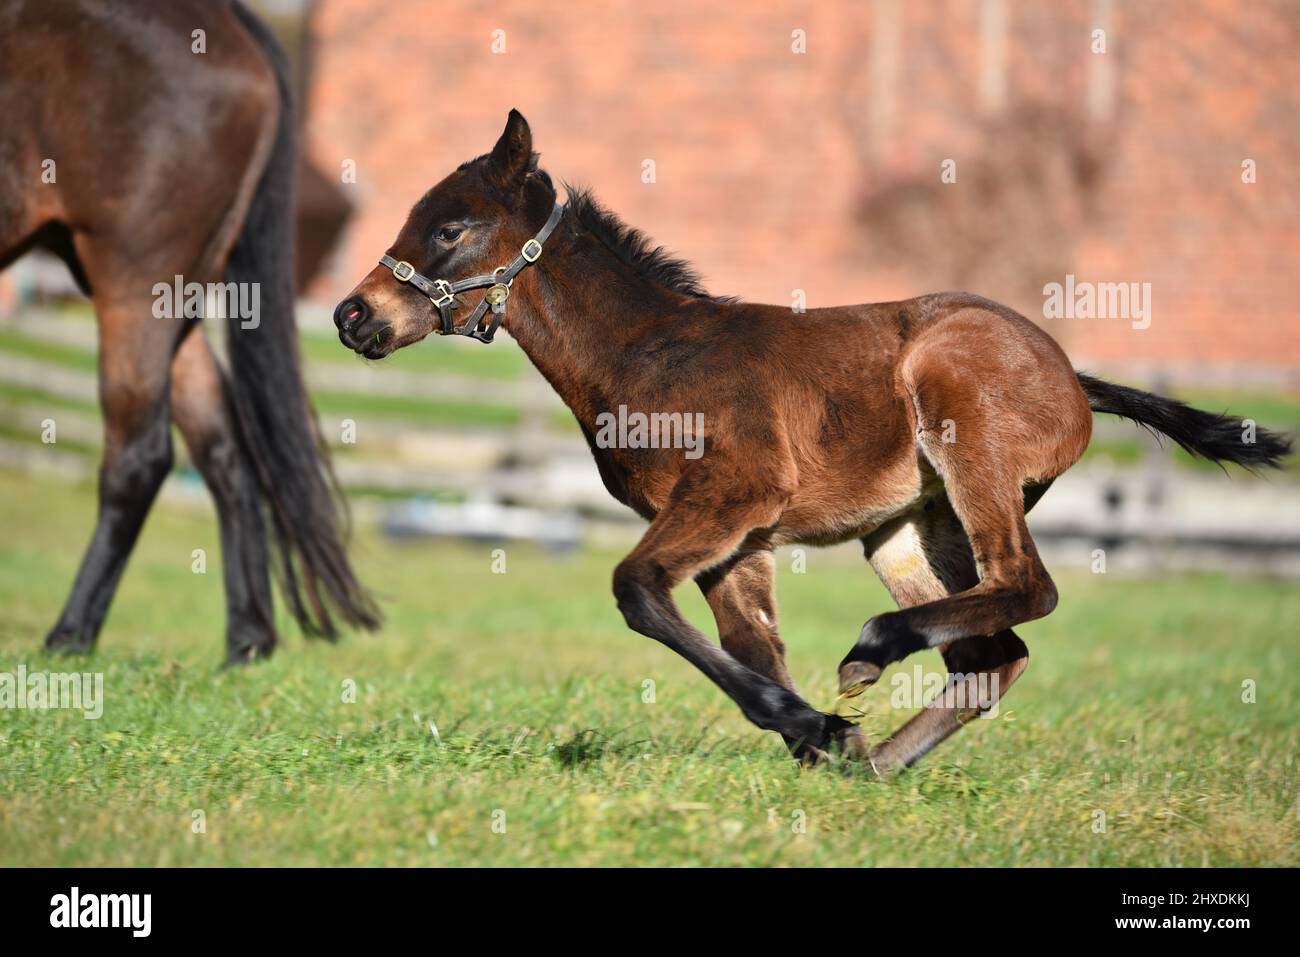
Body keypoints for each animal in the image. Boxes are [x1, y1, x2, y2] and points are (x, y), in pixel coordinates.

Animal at [0, 0, 379, 663]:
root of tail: (228, 22)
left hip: (135, 281)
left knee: (139, 456)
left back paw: (70, 636)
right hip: (171, 292)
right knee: (222, 441)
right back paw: (247, 639)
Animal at [333, 110, 1290, 771]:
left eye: (450, 229)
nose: (351, 317)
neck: (651, 351)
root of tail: (1072, 378)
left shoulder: (733, 494)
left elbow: (636, 589)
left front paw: (821, 728)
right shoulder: (737, 538)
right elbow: (749, 642)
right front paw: (822, 740)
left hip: (963, 434)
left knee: (1029, 587)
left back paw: (873, 650)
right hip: (907, 526)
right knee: (995, 650)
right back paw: (881, 761)